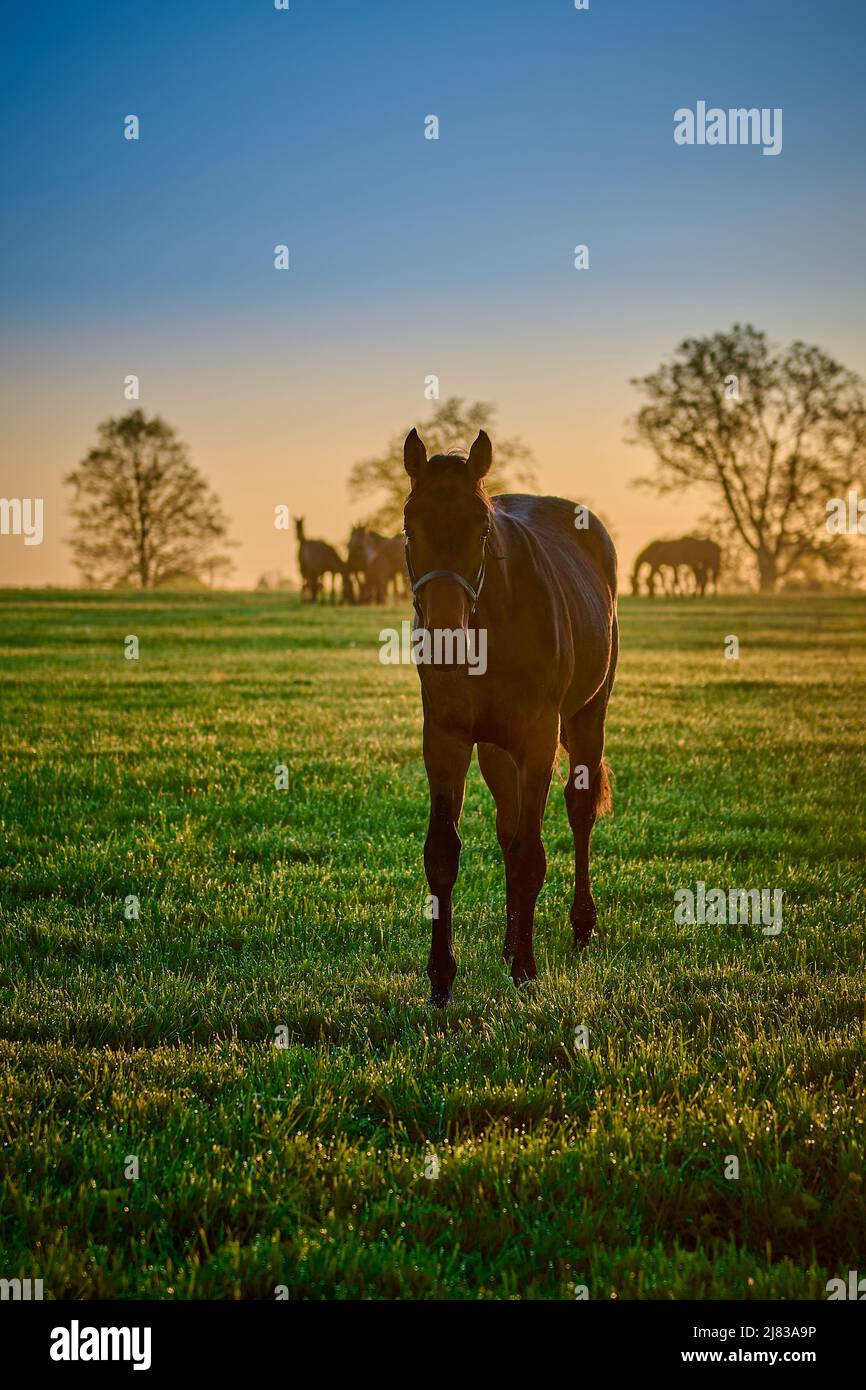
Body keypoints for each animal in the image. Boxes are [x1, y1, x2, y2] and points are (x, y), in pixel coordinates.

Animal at [402, 428, 618, 1005]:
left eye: (481, 527)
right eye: (409, 524)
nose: (445, 633)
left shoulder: (538, 738)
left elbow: (530, 854)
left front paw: (526, 968)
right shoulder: (447, 738)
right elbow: (444, 852)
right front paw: (441, 977)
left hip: (588, 716)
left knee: (578, 811)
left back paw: (580, 926)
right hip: (496, 748)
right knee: (507, 823)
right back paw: (507, 940)